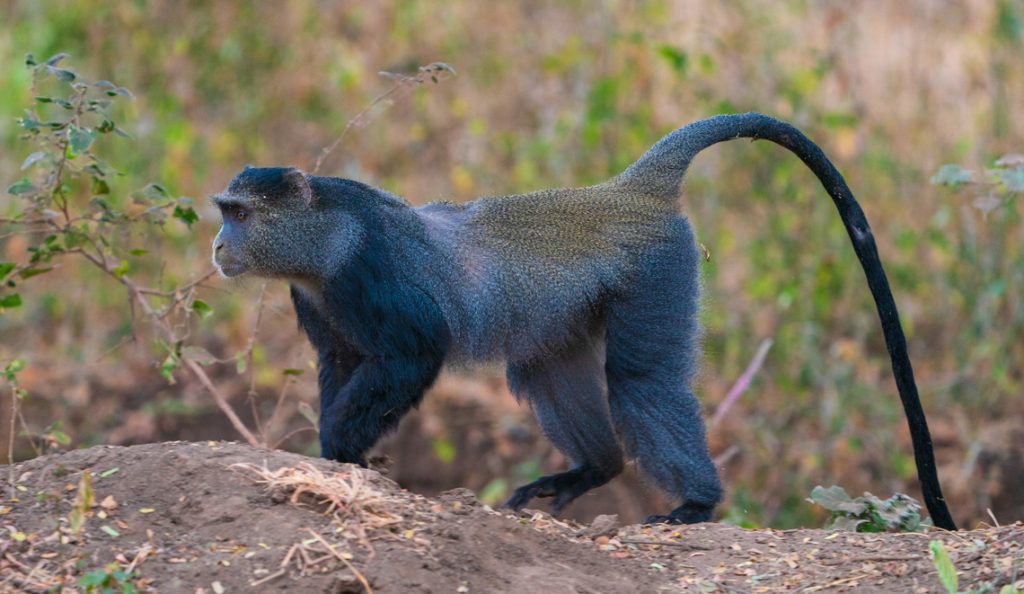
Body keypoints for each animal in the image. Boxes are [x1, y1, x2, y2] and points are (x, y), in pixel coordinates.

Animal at [210, 112, 957, 530]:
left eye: (240, 213)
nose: (218, 246)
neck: (326, 237)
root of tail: (630, 191)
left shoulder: (373, 272)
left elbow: (412, 355)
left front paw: (344, 451)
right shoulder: (318, 302)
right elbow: (341, 364)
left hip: (658, 270)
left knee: (642, 382)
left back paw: (695, 504)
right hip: (571, 317)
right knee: (544, 371)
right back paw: (591, 470)